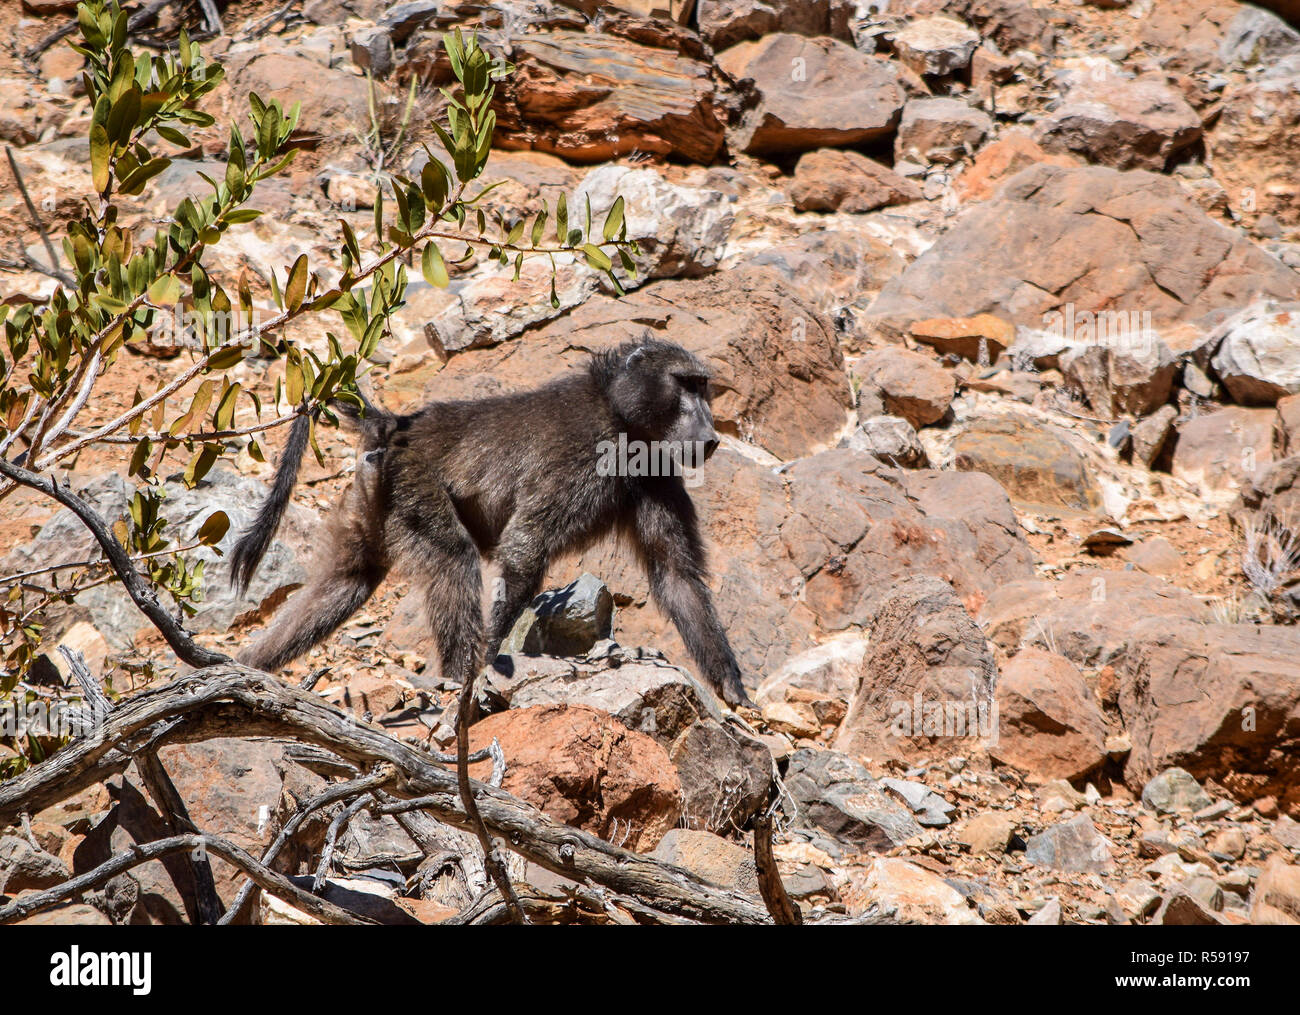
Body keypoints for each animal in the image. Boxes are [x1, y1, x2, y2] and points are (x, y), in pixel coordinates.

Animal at [229, 336, 755, 709]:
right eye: (685, 384)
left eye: (702, 387)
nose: (709, 435)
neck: (618, 414)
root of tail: (394, 424)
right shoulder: (581, 456)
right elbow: (526, 547)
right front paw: (486, 663)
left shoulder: (658, 472)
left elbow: (676, 575)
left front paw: (733, 689)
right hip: (411, 485)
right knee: (452, 558)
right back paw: (458, 680)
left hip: (372, 497)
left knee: (346, 583)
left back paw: (248, 668)